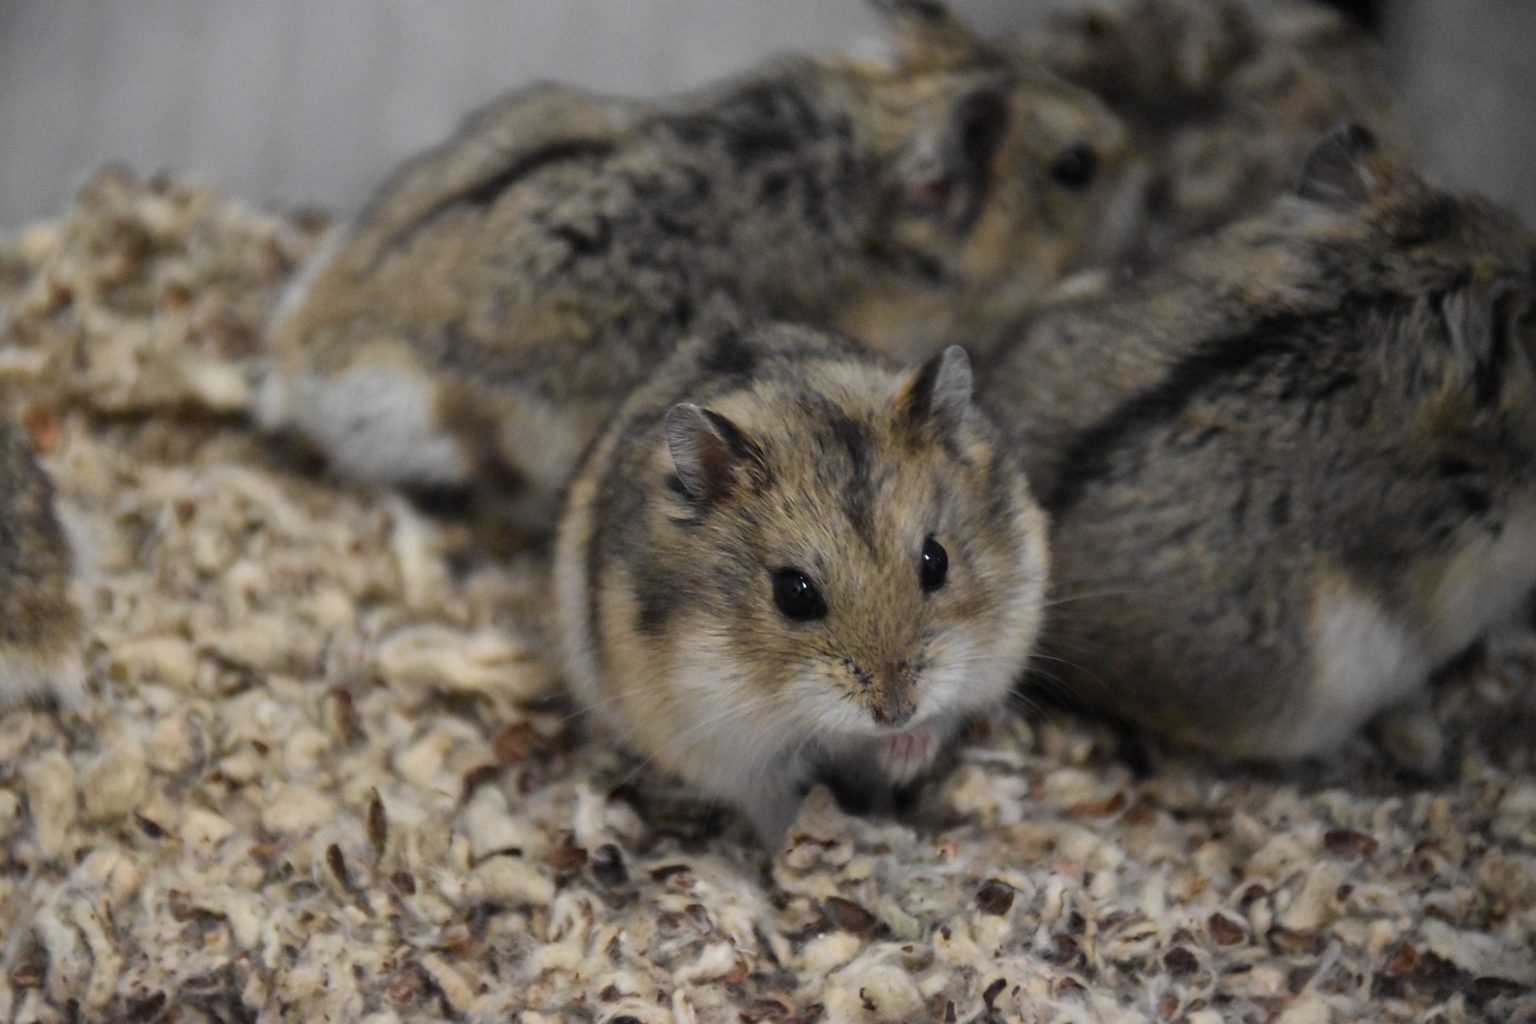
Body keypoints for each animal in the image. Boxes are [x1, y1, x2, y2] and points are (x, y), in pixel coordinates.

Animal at [554, 322, 1049, 843]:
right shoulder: (723, 742)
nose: (895, 714)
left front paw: (902, 758)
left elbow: (940, 719)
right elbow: (772, 799)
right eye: (793, 594)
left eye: (938, 562)